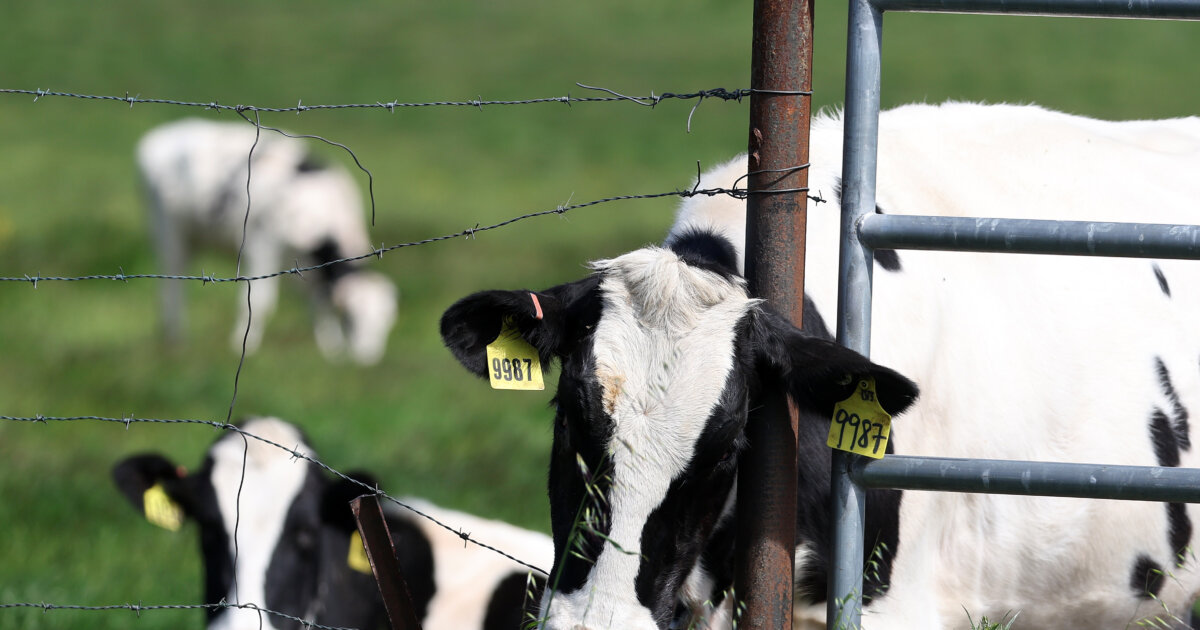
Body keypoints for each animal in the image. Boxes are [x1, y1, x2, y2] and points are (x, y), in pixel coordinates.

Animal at [137, 118, 398, 365]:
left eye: (386, 322)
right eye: (351, 318)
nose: (367, 358)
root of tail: (161, 136)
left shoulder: (307, 268)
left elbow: (319, 305)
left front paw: (331, 351)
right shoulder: (261, 244)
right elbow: (260, 302)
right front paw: (243, 347)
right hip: (168, 231)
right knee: (171, 286)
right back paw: (175, 340)